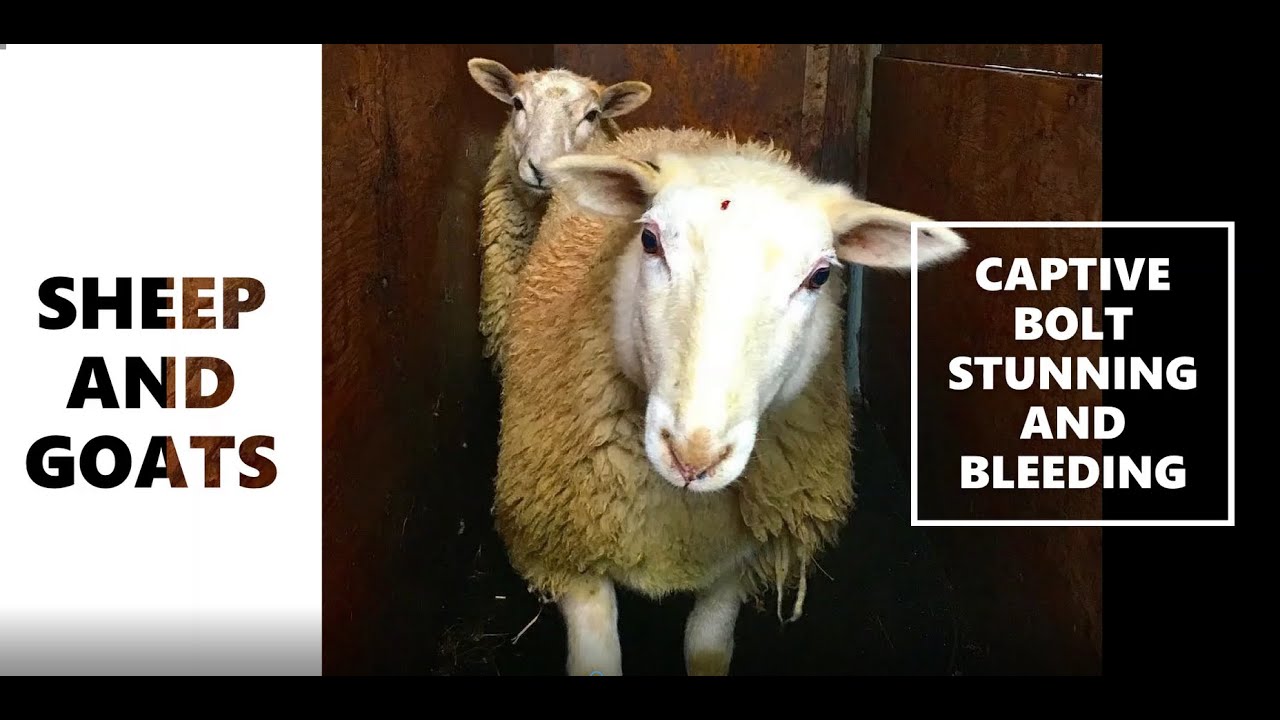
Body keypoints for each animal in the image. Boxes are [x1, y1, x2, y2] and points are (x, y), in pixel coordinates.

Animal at [492, 126, 968, 676]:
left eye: (820, 276)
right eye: (650, 240)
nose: (693, 457)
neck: (680, 517)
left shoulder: (744, 556)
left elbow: (708, 647)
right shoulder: (562, 549)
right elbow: (597, 659)